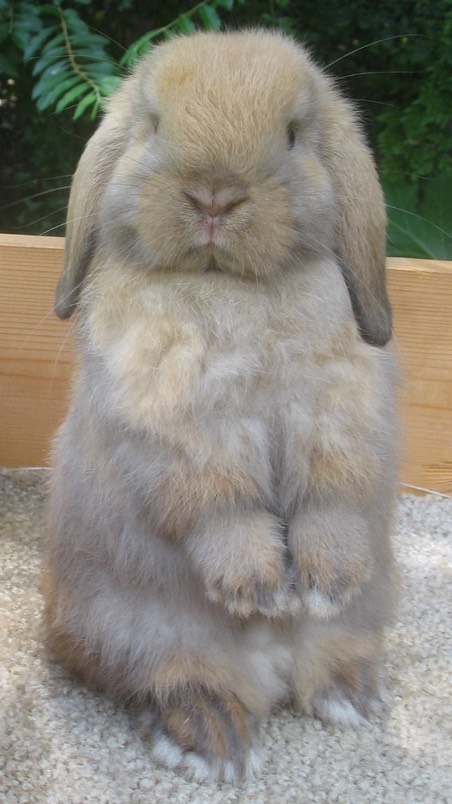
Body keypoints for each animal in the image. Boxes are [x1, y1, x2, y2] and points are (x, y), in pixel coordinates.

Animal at [43, 29, 399, 783]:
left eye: (293, 133)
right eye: (152, 125)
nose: (214, 195)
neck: (232, 287)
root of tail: (272, 670)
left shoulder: (339, 416)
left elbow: (332, 498)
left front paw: (321, 584)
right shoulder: (183, 433)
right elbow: (222, 507)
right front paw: (260, 591)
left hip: (369, 606)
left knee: (330, 653)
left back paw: (348, 690)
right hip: (134, 627)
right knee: (167, 680)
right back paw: (215, 737)